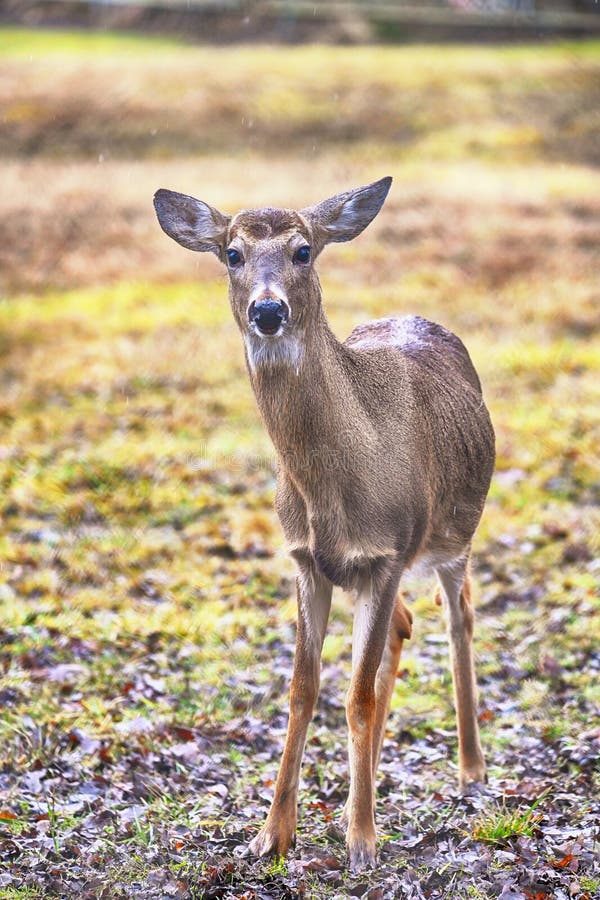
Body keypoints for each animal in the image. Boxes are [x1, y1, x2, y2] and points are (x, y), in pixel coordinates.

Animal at [153, 176, 495, 872]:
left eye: (304, 250)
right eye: (232, 253)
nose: (268, 310)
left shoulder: (389, 553)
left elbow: (356, 695)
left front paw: (362, 842)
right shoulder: (307, 560)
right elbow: (302, 689)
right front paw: (271, 834)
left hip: (453, 533)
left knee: (459, 618)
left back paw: (471, 771)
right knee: (405, 625)